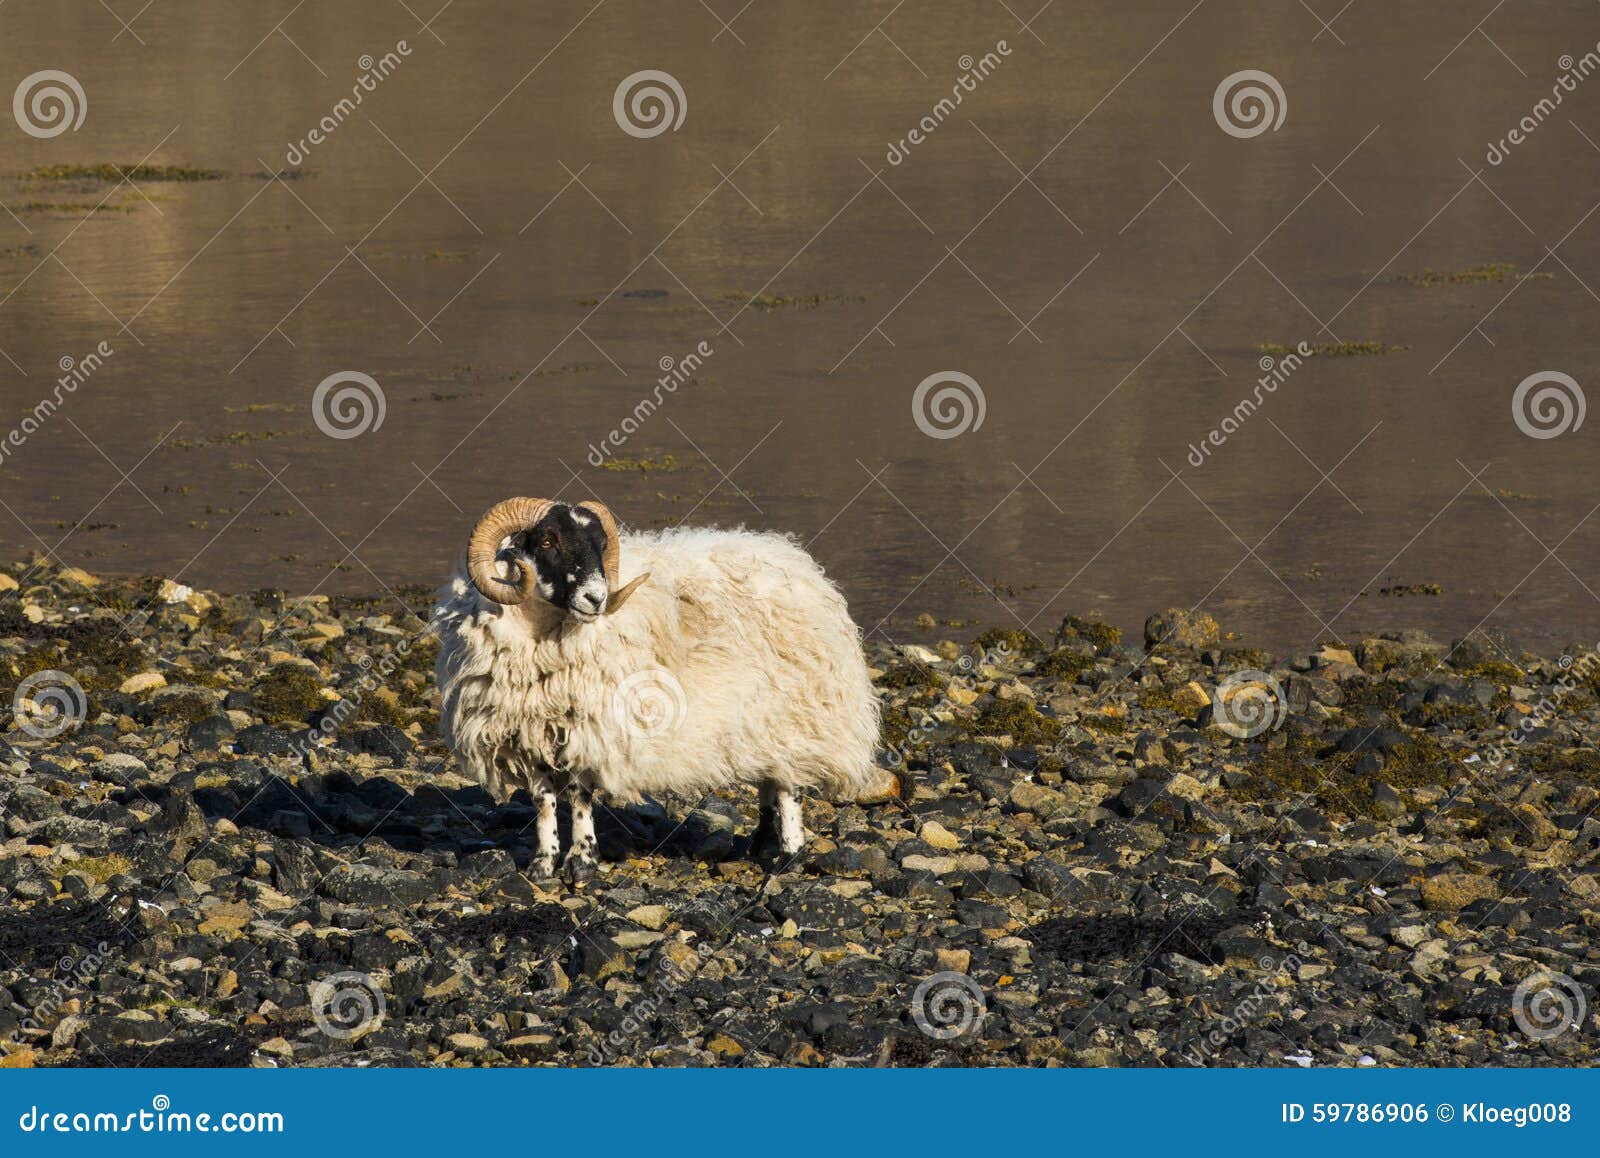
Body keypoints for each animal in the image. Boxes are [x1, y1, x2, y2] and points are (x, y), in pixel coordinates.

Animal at [432, 496, 882, 883]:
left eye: (600, 545)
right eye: (546, 541)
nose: (596, 598)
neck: (546, 638)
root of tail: (802, 567)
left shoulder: (589, 729)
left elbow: (578, 796)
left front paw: (582, 862)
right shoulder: (531, 732)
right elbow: (543, 800)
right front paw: (544, 863)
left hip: (796, 715)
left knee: (788, 786)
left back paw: (788, 854)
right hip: (760, 723)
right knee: (770, 779)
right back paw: (762, 844)